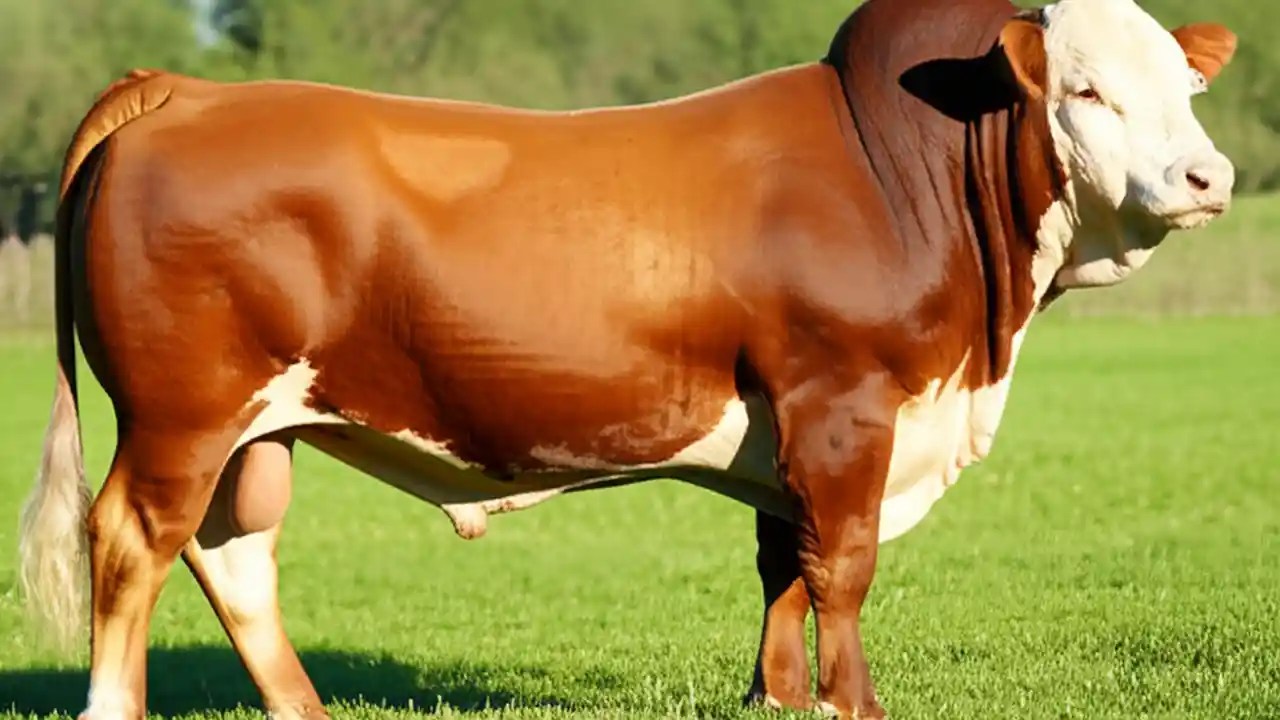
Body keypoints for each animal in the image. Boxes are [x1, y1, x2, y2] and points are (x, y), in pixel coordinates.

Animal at [16, 0, 1237, 717]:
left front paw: (775, 699)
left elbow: (781, 568)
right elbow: (839, 569)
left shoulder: (791, 432)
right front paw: (852, 704)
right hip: (181, 415)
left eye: (1184, 86)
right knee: (131, 543)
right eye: (1083, 88)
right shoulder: (844, 406)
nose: (1208, 176)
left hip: (251, 428)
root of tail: (186, 91)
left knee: (233, 554)